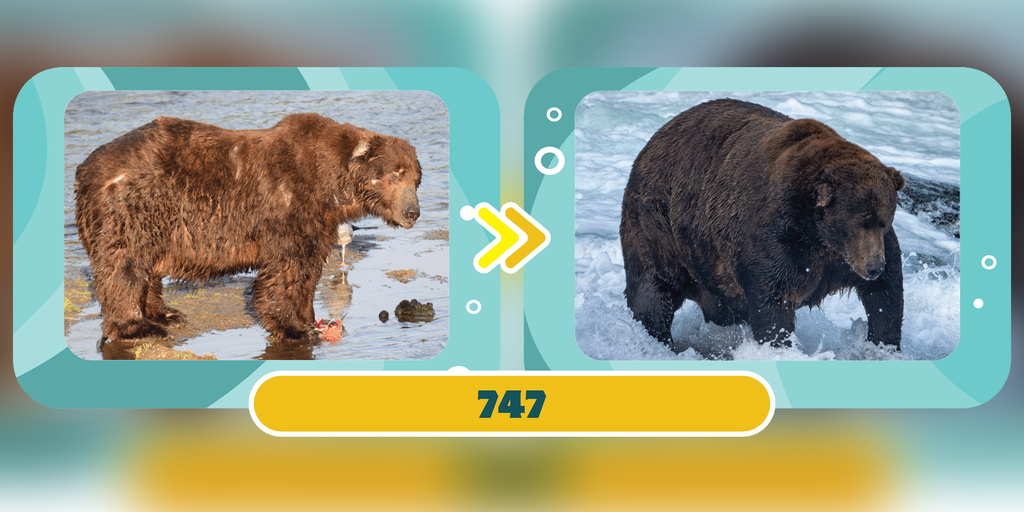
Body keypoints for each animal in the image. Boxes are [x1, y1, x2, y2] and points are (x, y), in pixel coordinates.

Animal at [74, 113, 422, 343]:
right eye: (394, 174)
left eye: (415, 178)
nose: (412, 212)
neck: (331, 184)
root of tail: (86, 169)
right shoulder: (289, 203)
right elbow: (287, 266)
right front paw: (293, 327)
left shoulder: (320, 221)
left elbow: (309, 267)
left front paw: (308, 318)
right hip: (134, 207)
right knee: (125, 265)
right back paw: (138, 325)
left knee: (146, 267)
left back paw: (166, 312)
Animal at [620, 98, 904, 351]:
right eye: (858, 223)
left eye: (883, 221)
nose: (873, 267)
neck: (815, 233)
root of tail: (654, 138)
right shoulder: (776, 240)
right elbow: (772, 300)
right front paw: (779, 344)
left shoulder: (844, 257)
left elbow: (886, 293)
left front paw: (883, 345)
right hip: (658, 226)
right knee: (653, 290)